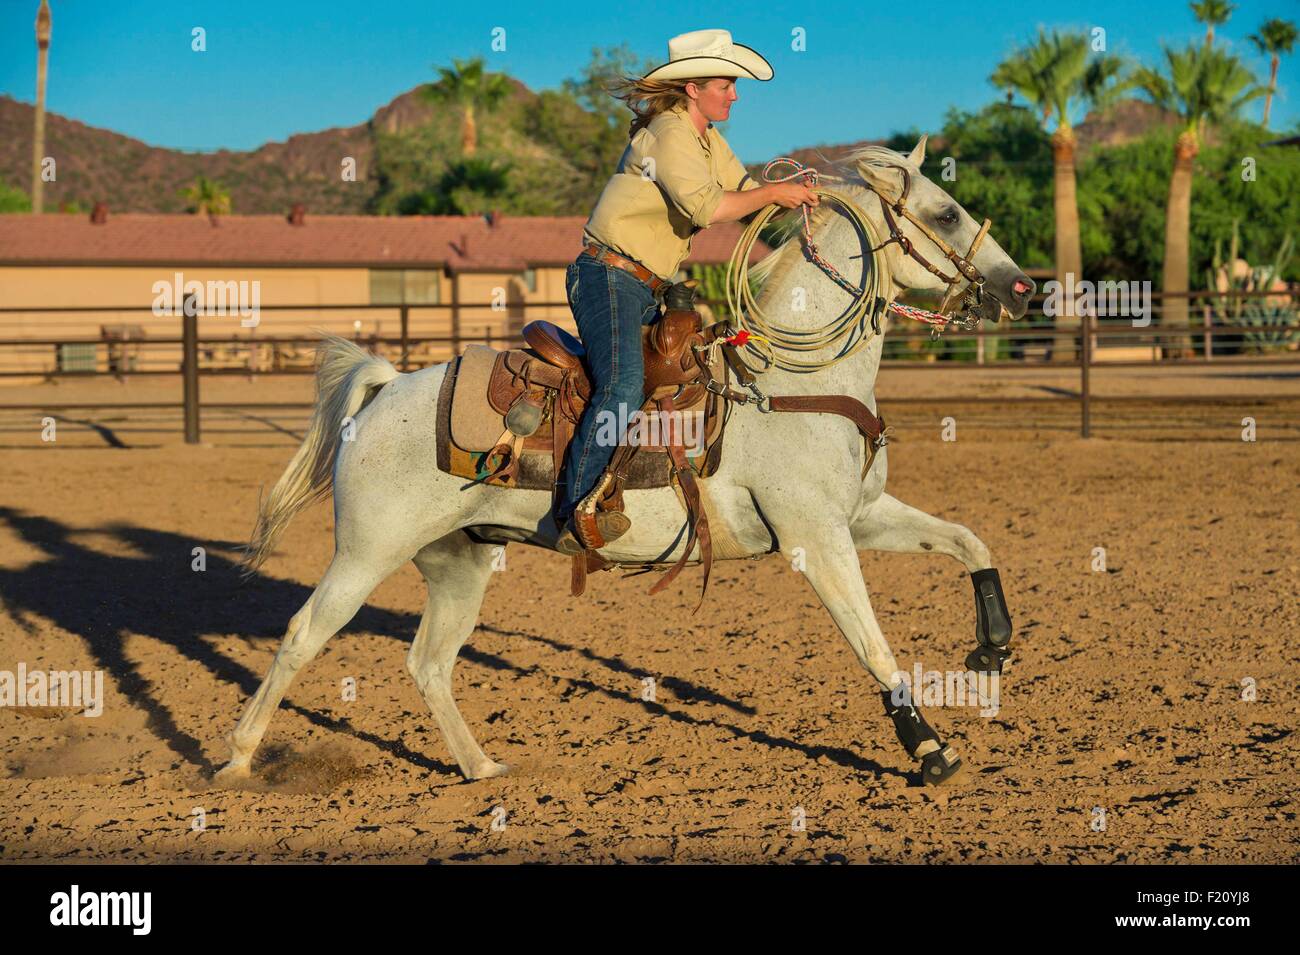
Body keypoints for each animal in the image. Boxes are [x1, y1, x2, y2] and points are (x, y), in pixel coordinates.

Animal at [216, 136, 1034, 787]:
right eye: (947, 213)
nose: (1023, 285)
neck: (788, 382)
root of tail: (386, 388)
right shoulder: (817, 537)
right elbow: (872, 642)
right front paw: (930, 750)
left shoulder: (859, 517)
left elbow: (969, 541)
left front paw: (991, 648)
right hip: (365, 553)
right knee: (303, 635)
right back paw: (236, 761)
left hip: (457, 561)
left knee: (429, 664)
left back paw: (480, 766)